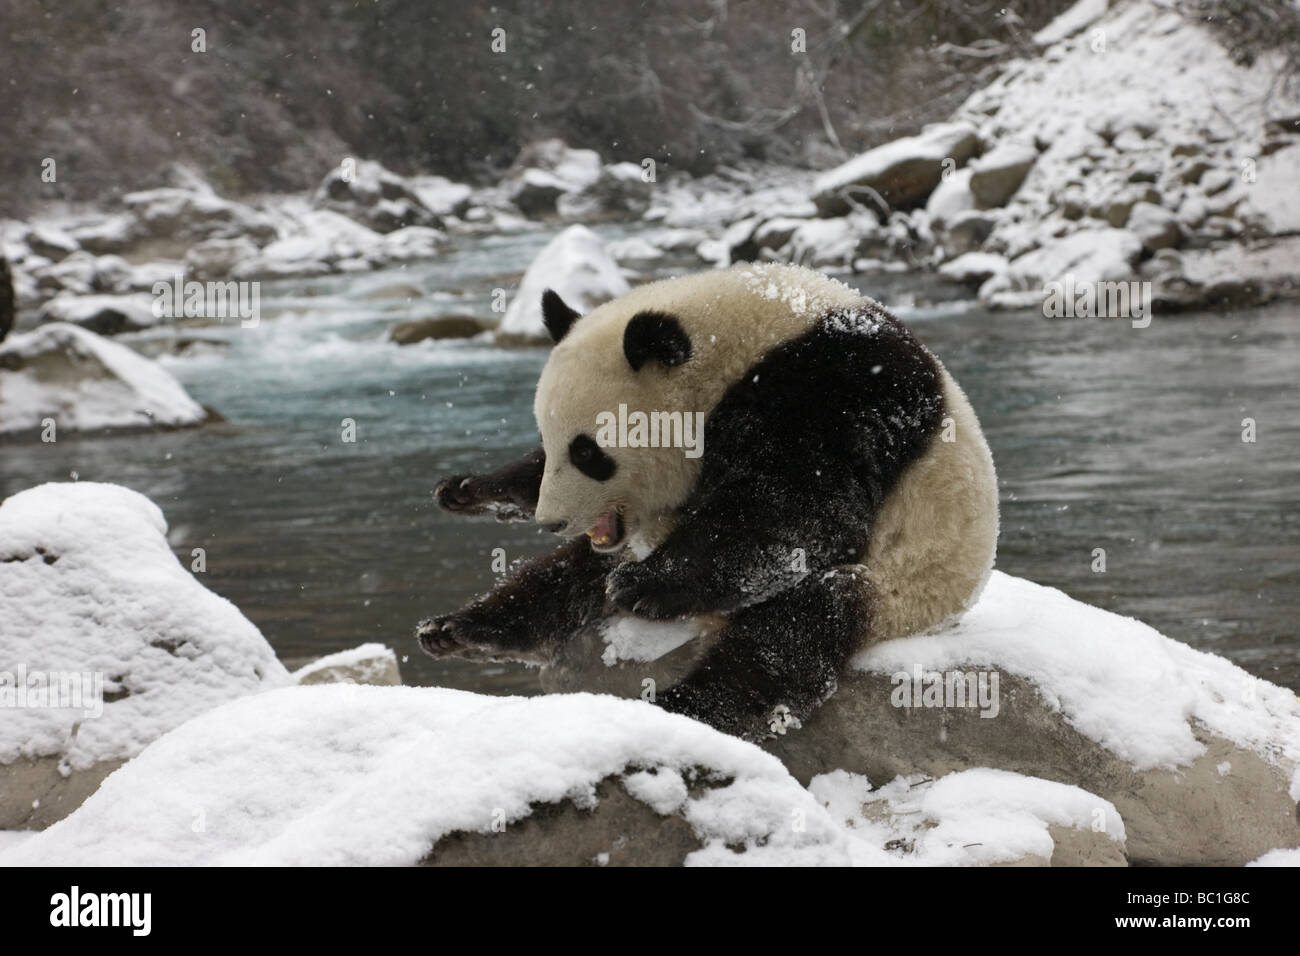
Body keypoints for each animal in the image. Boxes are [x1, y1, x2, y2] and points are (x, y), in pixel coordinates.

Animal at [419, 262, 998, 741]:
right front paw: (467, 489)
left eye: (588, 452)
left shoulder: (834, 392)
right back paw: (457, 630)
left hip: (903, 588)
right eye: (549, 438)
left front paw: (642, 586)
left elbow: (803, 511)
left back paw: (682, 704)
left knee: (791, 634)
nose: (552, 521)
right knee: (558, 580)